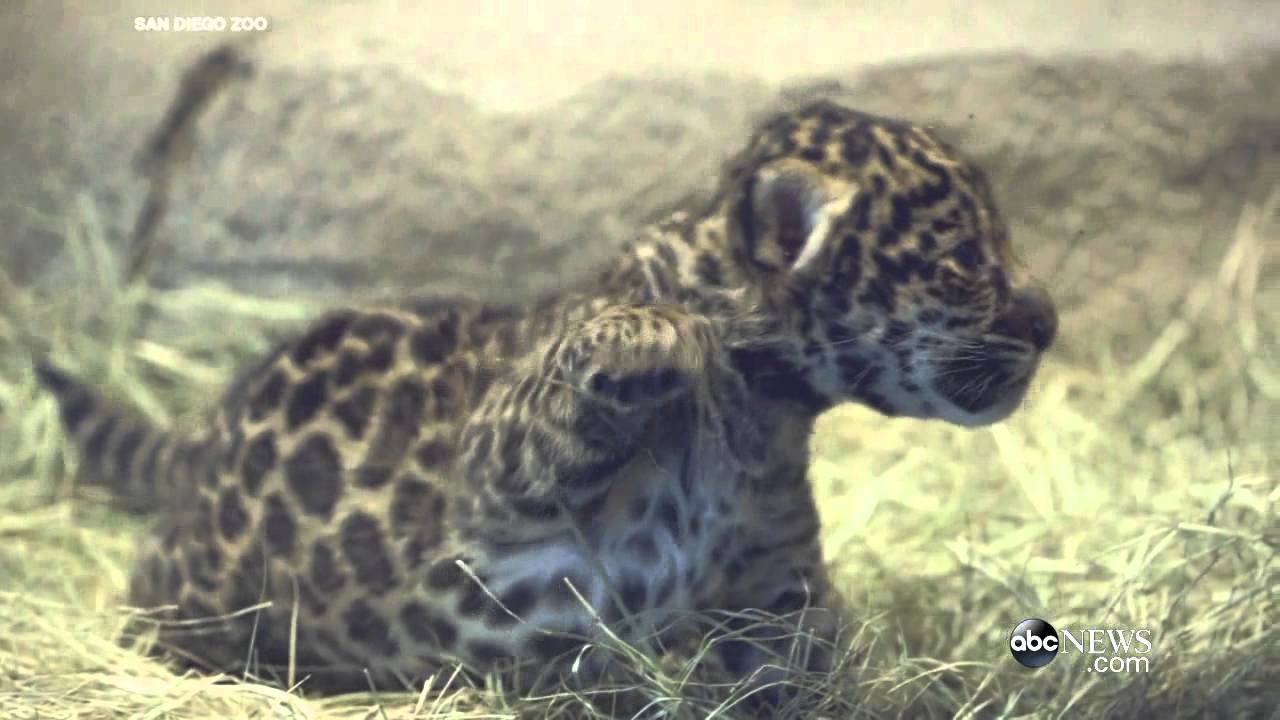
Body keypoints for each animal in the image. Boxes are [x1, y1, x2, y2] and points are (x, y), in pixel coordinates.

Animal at [35, 98, 1057, 703]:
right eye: (965, 259)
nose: (1048, 320)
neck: (768, 415)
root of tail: (209, 429)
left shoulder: (775, 591)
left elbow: (805, 669)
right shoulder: (489, 482)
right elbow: (610, 346)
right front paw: (677, 336)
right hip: (207, 582)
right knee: (150, 578)